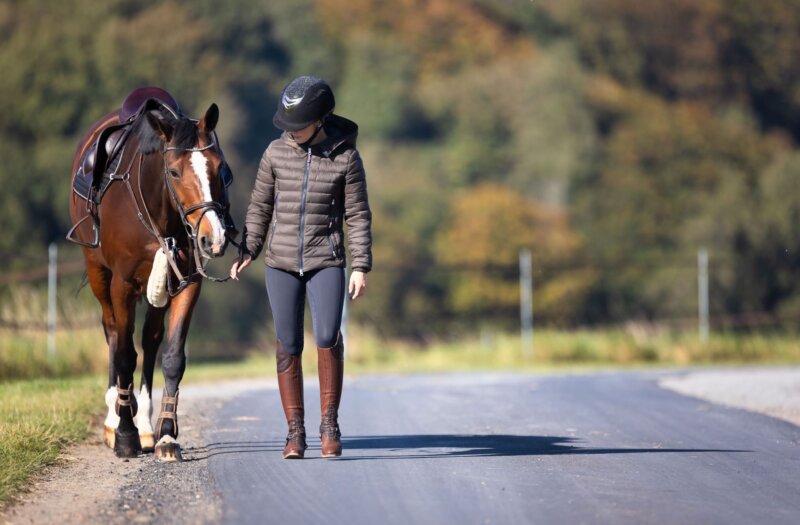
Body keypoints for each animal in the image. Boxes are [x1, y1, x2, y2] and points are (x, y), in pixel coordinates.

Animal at [68, 89, 234, 461]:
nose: (213, 237)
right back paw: (115, 420)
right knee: (113, 333)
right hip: (98, 272)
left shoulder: (188, 284)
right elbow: (124, 355)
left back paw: (144, 423)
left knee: (150, 339)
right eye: (173, 171)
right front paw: (125, 435)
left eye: (219, 168)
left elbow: (172, 357)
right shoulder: (122, 285)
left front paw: (167, 435)